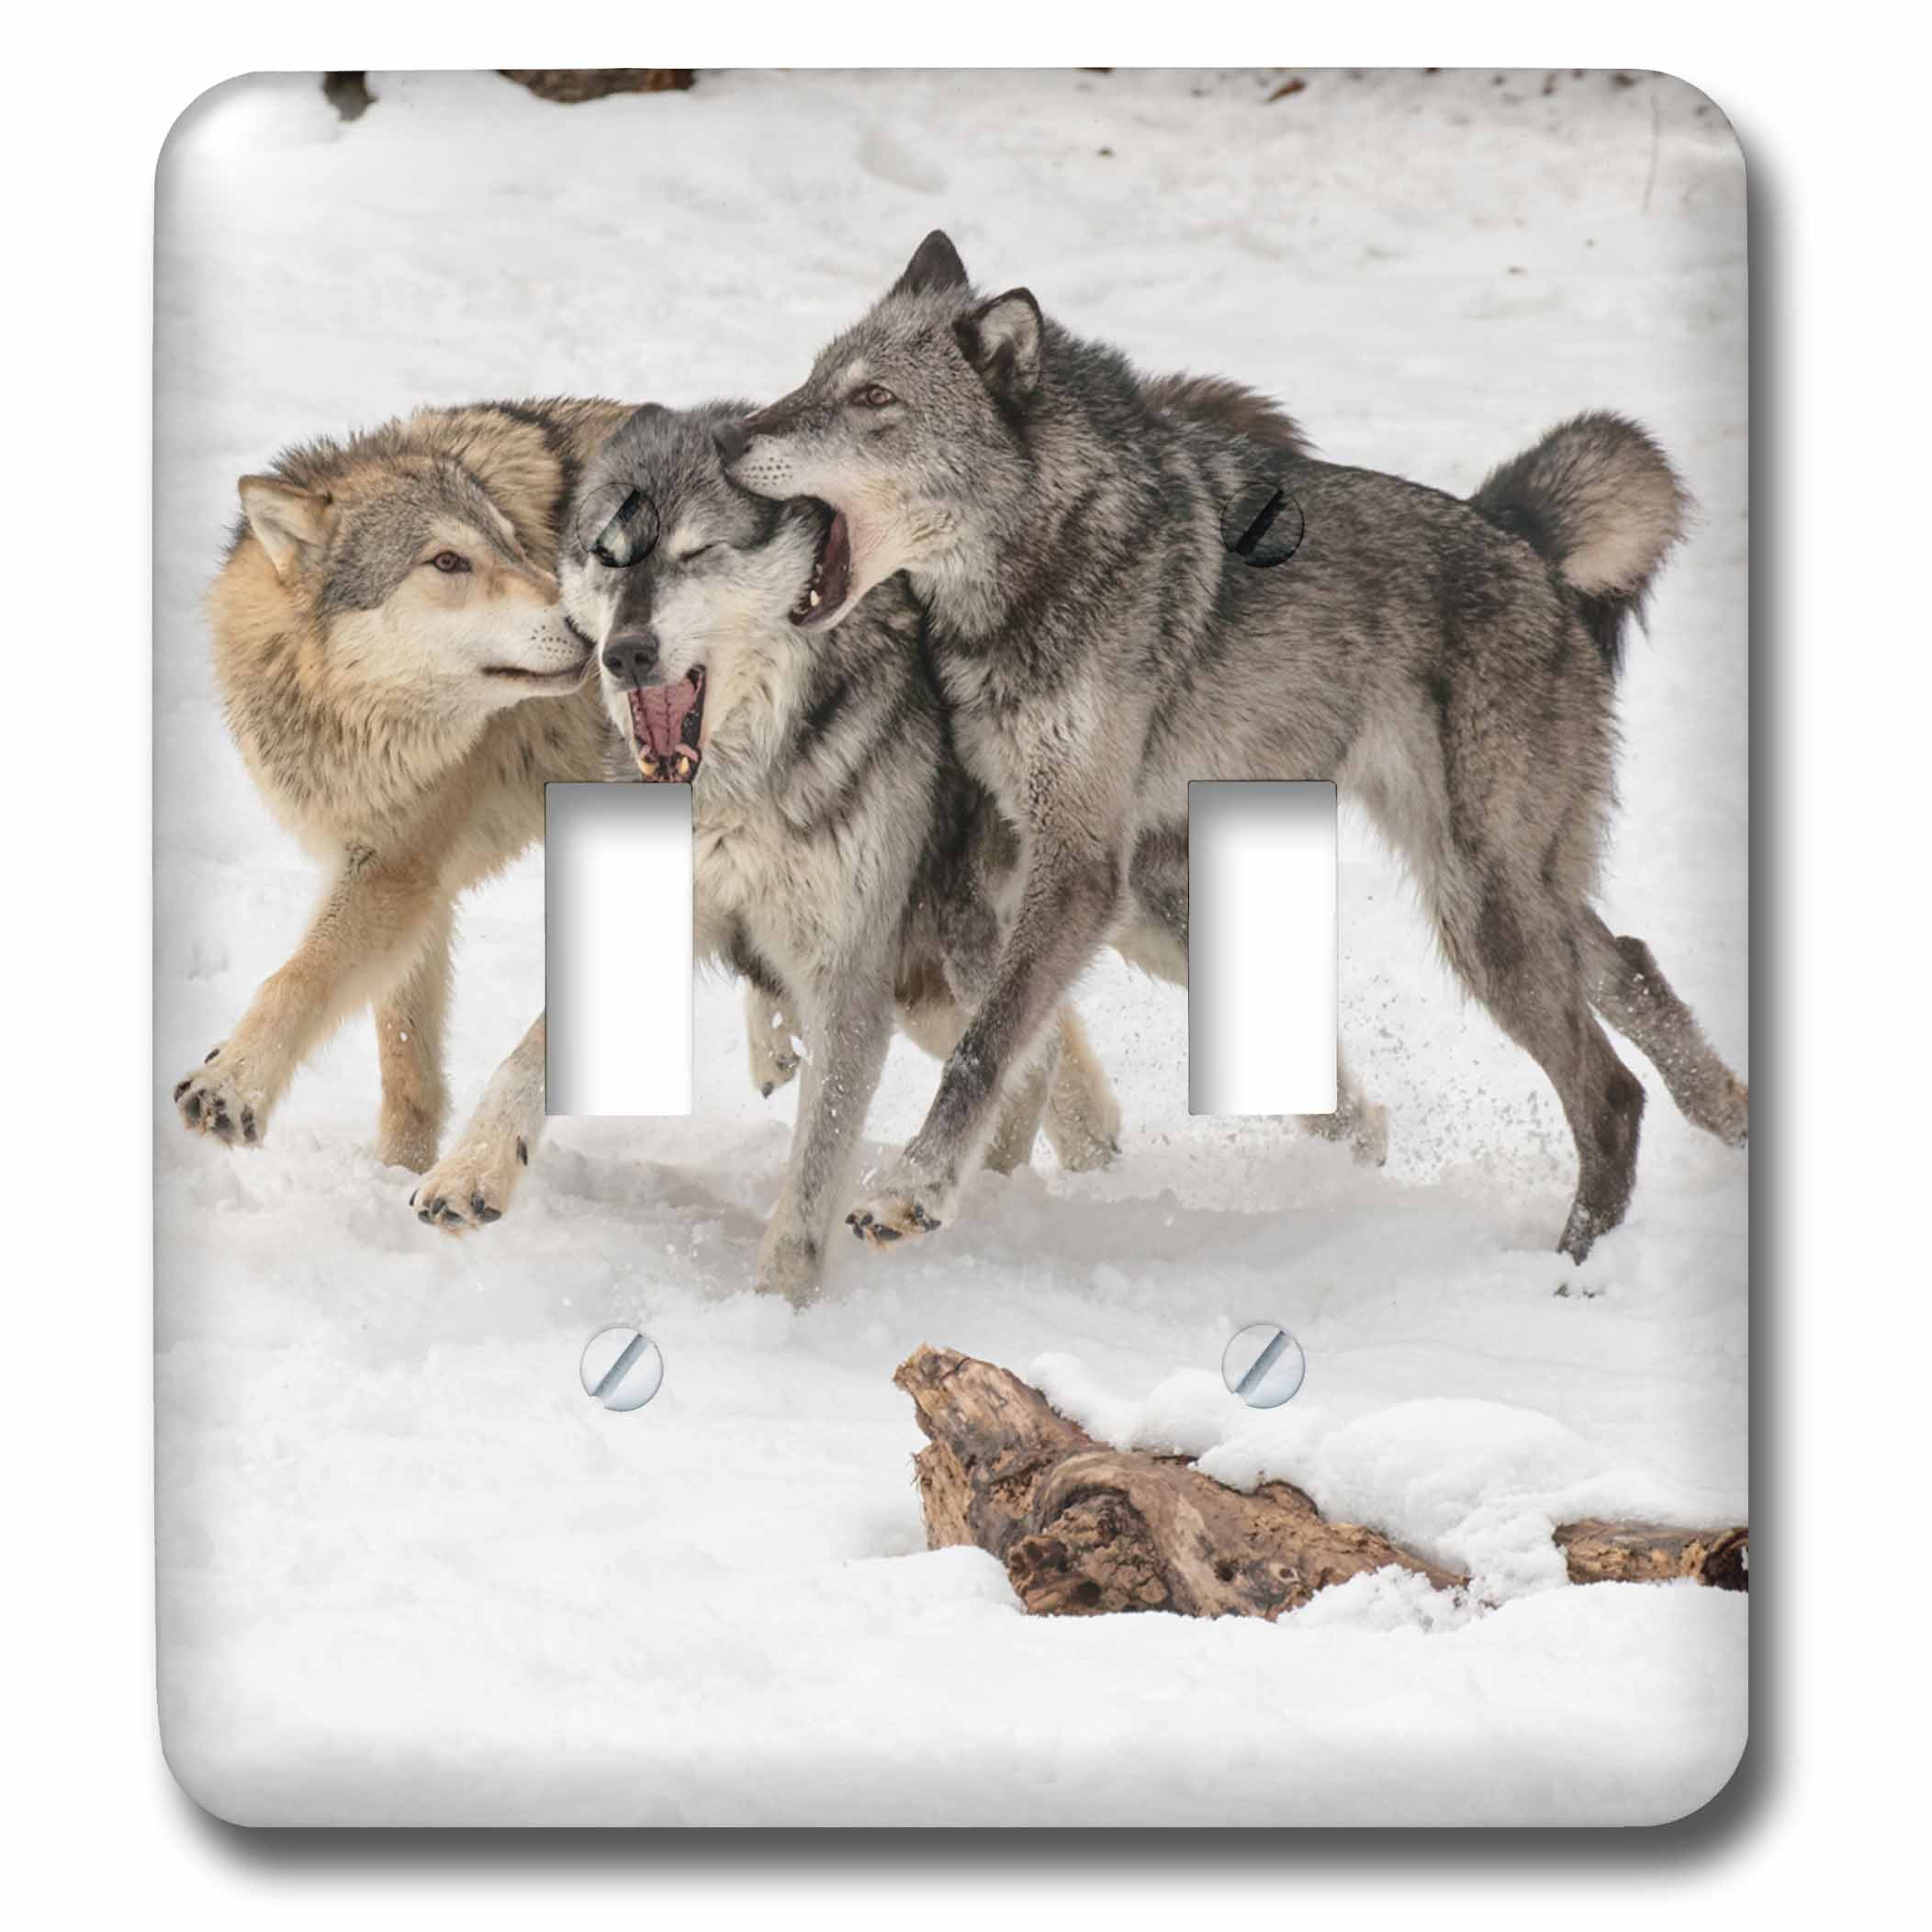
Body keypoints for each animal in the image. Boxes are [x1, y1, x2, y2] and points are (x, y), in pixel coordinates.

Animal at [559, 400, 1122, 1302]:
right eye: (605, 558)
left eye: (695, 554)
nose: (629, 653)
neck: (740, 783)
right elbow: (520, 1067)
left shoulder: (851, 984)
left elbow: (813, 1180)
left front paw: (776, 1312)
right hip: (931, 986)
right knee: (1043, 1053)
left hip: (958, 954)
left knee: (1031, 1050)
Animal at [720, 231, 1748, 1262]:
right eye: (814, 377)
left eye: (873, 399)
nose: (729, 441)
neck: (1047, 553)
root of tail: (1523, 542)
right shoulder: (1028, 846)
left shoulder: (1079, 863)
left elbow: (986, 1045)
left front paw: (913, 1191)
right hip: (1486, 895)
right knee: (1630, 961)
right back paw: (1731, 1117)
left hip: (1479, 914)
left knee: (1610, 1092)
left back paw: (1575, 1263)